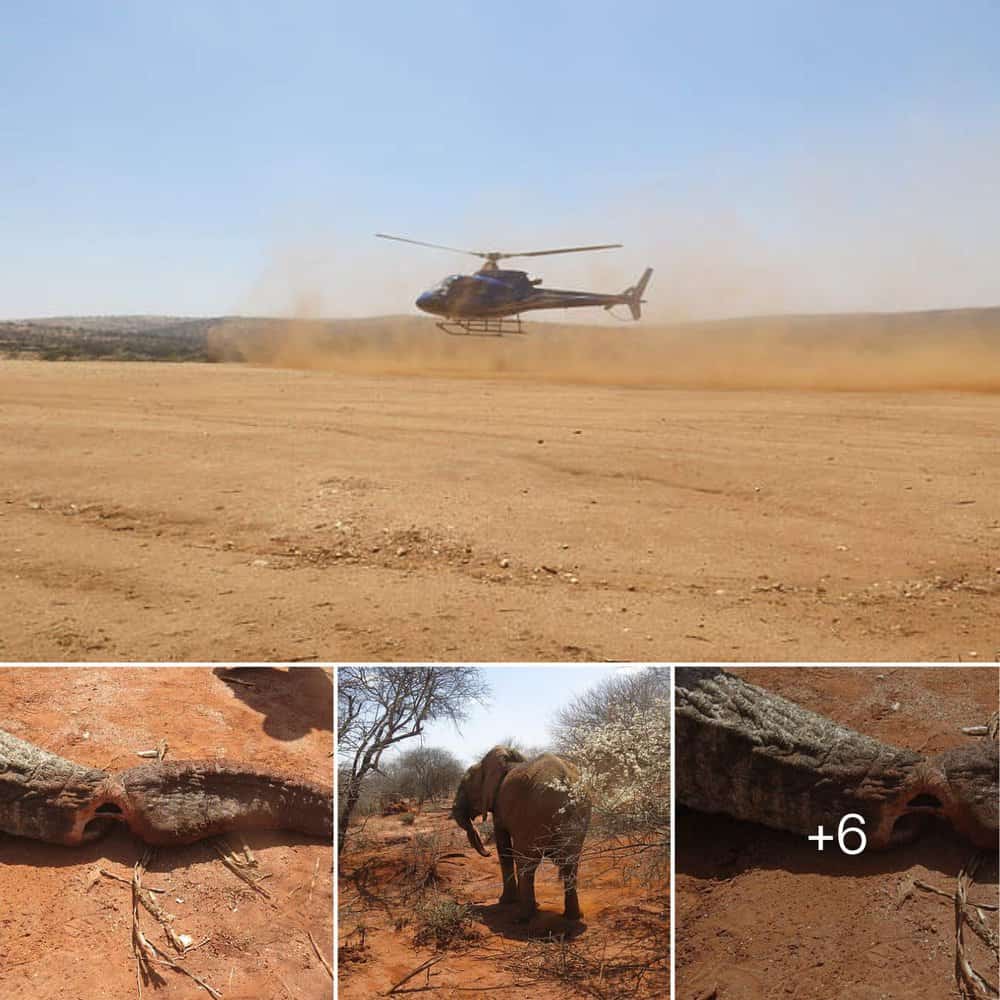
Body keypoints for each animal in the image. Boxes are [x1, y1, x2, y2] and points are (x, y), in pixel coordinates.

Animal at [451, 746, 591, 922]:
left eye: (464, 787)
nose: (487, 853)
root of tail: (565, 784)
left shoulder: (499, 806)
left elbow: (504, 846)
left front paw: (505, 902)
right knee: (570, 863)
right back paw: (572, 916)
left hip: (534, 814)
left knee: (526, 862)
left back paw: (522, 918)